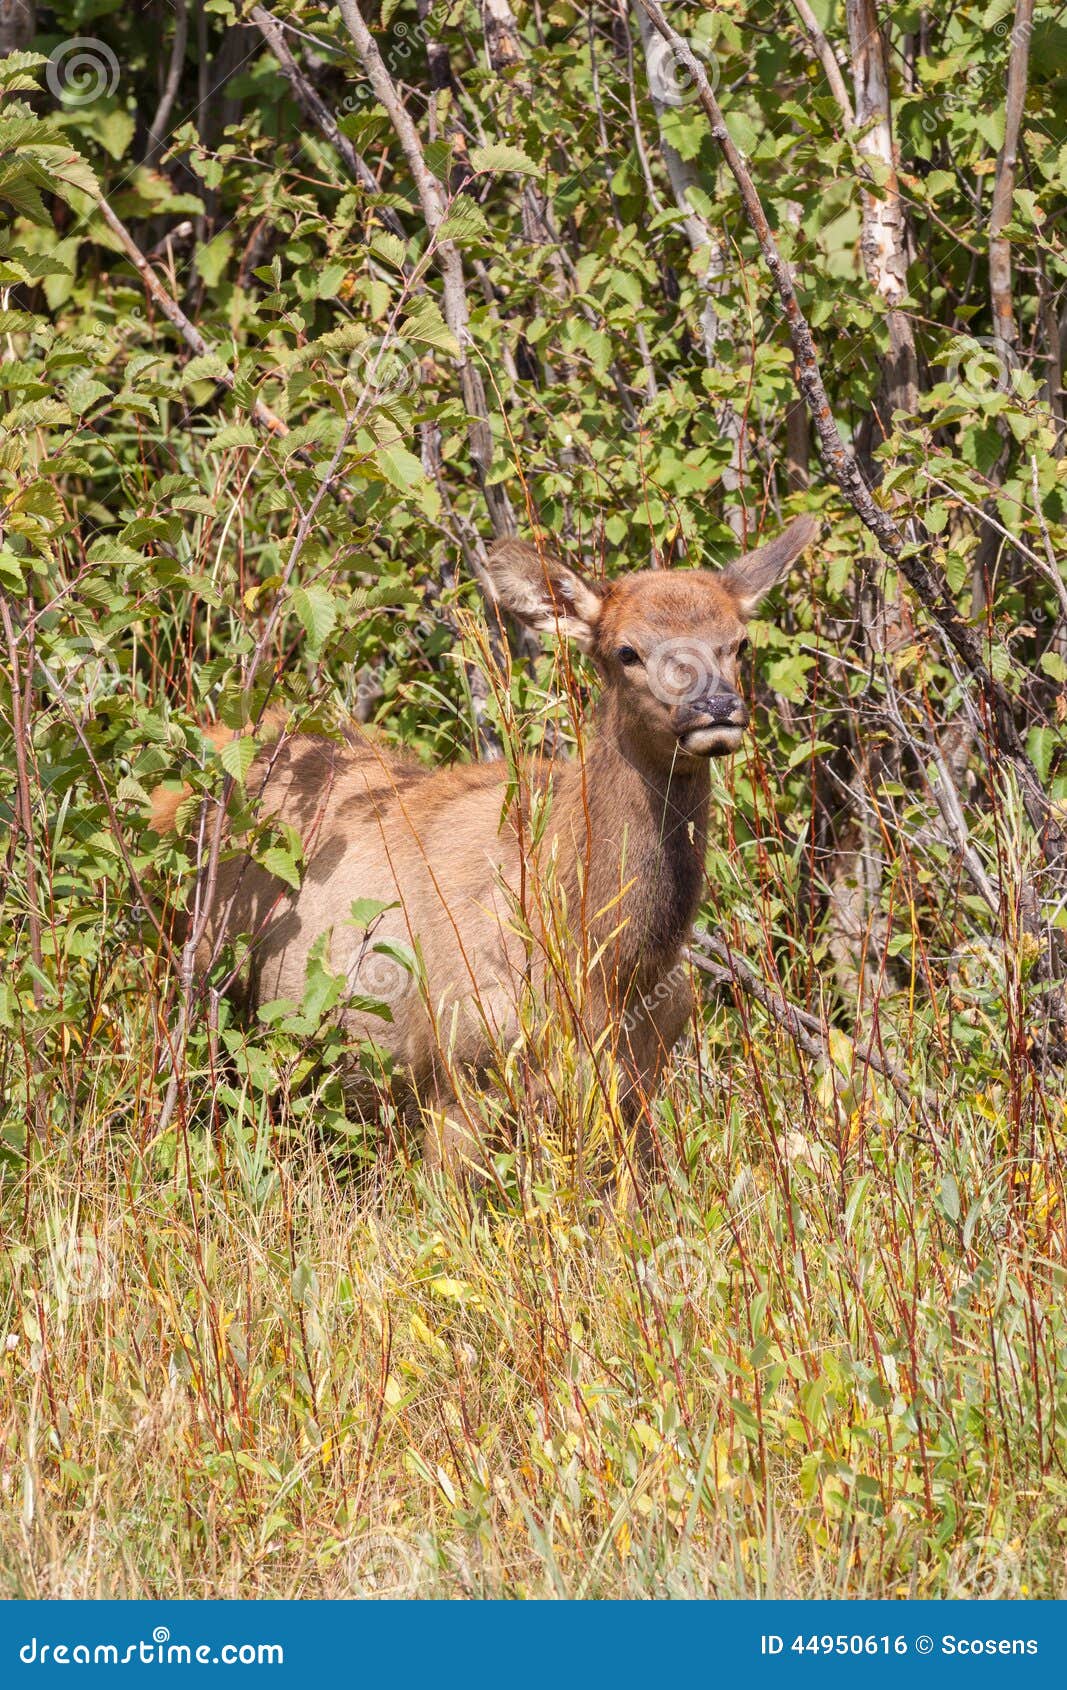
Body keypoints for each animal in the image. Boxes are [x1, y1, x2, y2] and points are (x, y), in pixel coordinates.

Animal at [151, 514, 817, 1182]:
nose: (716, 706)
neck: (603, 962)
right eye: (625, 651)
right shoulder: (459, 1061)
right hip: (201, 973)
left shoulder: (638, 1079)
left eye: (739, 643)